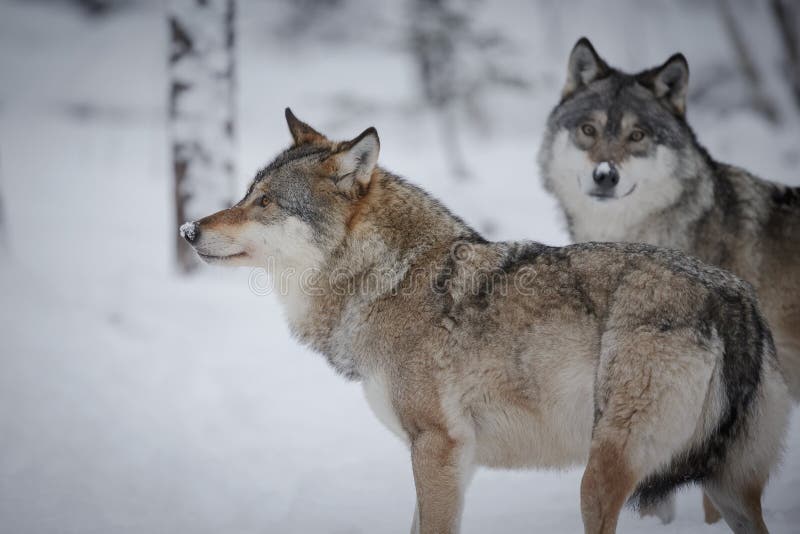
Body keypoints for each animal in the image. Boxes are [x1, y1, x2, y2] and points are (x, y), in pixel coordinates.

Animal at [181, 109, 790, 534]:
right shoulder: (450, 459)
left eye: (265, 203)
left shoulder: (438, 448)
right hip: (730, 487)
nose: (188, 230)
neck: (389, 279)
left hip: (600, 477)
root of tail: (733, 299)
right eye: (246, 193)